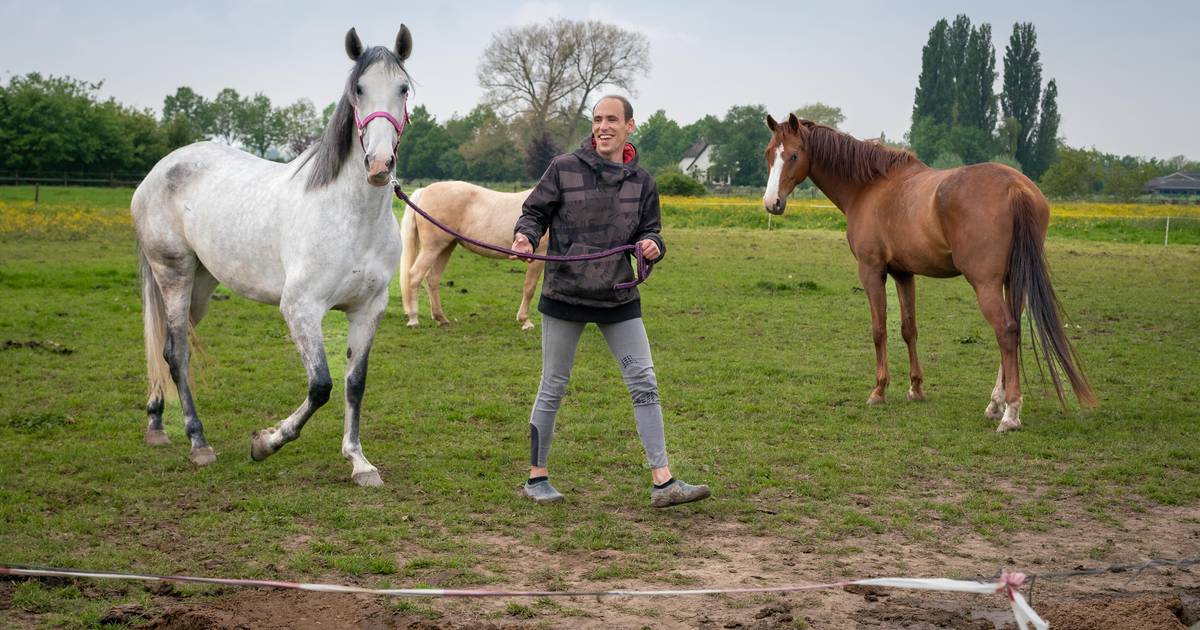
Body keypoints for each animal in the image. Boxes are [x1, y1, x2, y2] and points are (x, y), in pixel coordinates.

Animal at [131, 27, 413, 485]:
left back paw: (157, 424)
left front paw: (359, 461)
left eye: (403, 89)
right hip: (174, 274)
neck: (351, 216)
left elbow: (354, 384)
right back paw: (198, 442)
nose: (378, 165)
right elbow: (321, 385)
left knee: (165, 347)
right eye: (358, 89)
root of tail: (159, 171)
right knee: (177, 353)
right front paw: (265, 443)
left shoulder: (368, 309)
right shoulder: (300, 308)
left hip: (201, 285)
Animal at [399, 181, 546, 330]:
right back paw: (413, 318)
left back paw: (441, 318)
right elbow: (530, 288)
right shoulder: (539, 256)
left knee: (432, 278)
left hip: (446, 247)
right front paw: (525, 321)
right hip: (432, 248)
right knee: (415, 276)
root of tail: (424, 191)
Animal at [762, 113, 1094, 431]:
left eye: (793, 155)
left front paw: (879, 391)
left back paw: (1010, 413)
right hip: (1013, 280)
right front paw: (916, 389)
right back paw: (995, 404)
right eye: (768, 154)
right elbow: (909, 329)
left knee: (1006, 331)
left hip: (986, 284)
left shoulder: (872, 271)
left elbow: (879, 330)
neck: (870, 188)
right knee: (1014, 332)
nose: (771, 203)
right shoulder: (903, 273)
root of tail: (1015, 187)